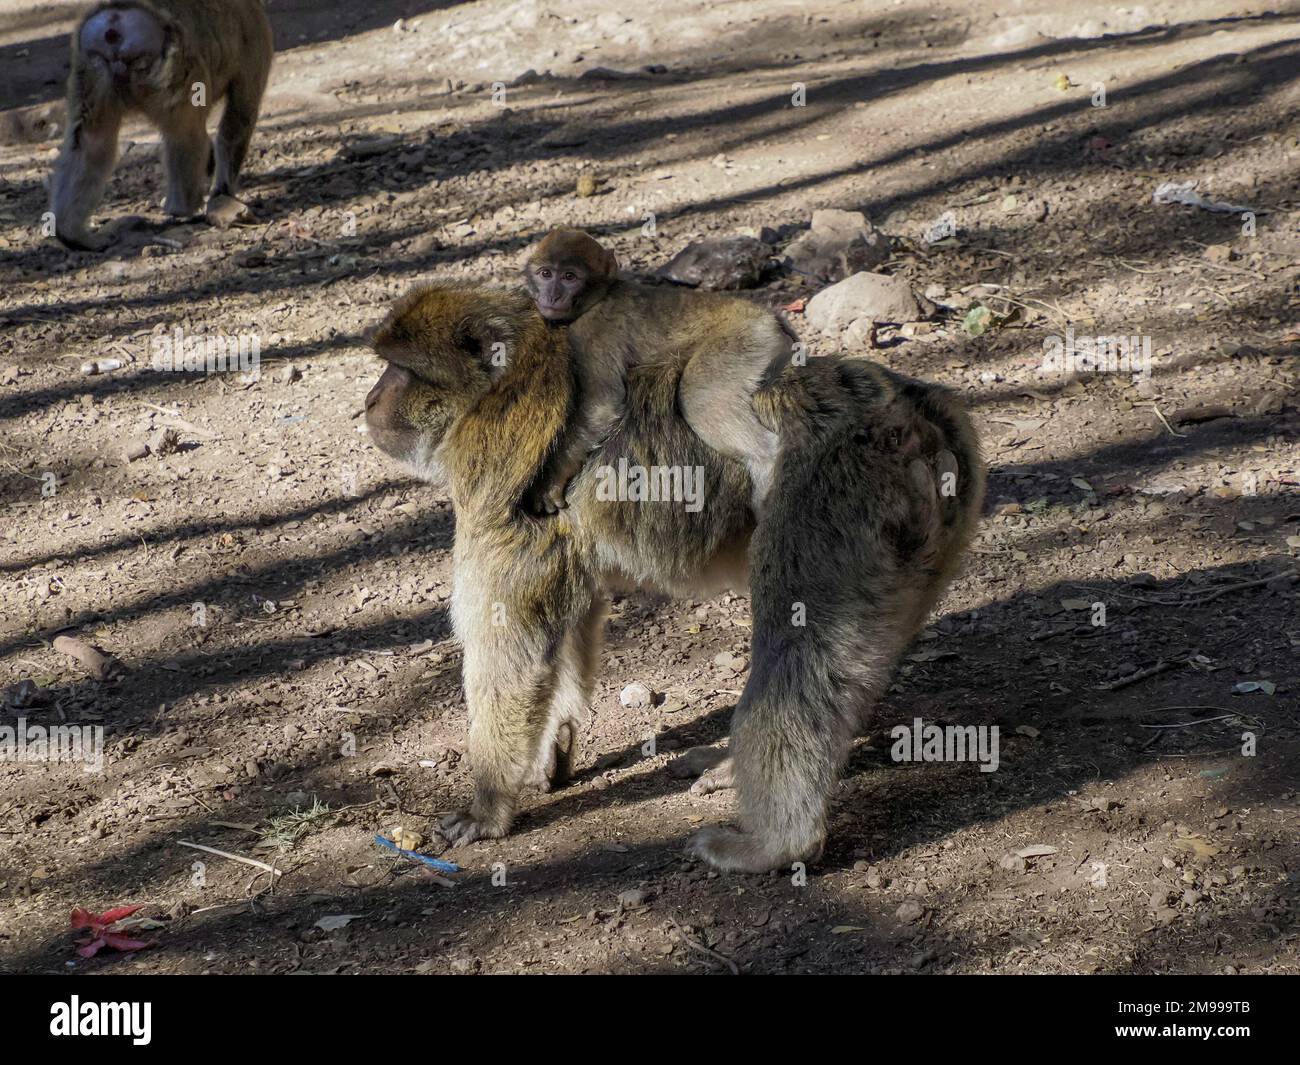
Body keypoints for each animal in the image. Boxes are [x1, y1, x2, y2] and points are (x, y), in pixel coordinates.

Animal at [49, 0, 273, 251]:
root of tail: (115, 23)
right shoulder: (253, 33)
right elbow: (239, 118)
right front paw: (221, 192)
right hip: (174, 62)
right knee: (185, 132)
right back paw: (183, 207)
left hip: (94, 65)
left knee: (91, 140)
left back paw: (72, 233)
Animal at [365, 283, 984, 872]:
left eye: (401, 368)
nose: (370, 398)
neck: (501, 393)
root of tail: (914, 418)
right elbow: (572, 620)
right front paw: (553, 745)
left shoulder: (495, 484)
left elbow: (510, 647)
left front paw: (488, 805)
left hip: (827, 502)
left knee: (799, 647)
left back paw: (780, 844)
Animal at [521, 228, 793, 516]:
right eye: (546, 274)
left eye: (569, 277)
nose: (552, 296)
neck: (600, 296)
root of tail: (769, 315)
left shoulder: (592, 330)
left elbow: (602, 403)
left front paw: (550, 481)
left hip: (743, 339)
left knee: (700, 399)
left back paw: (767, 470)